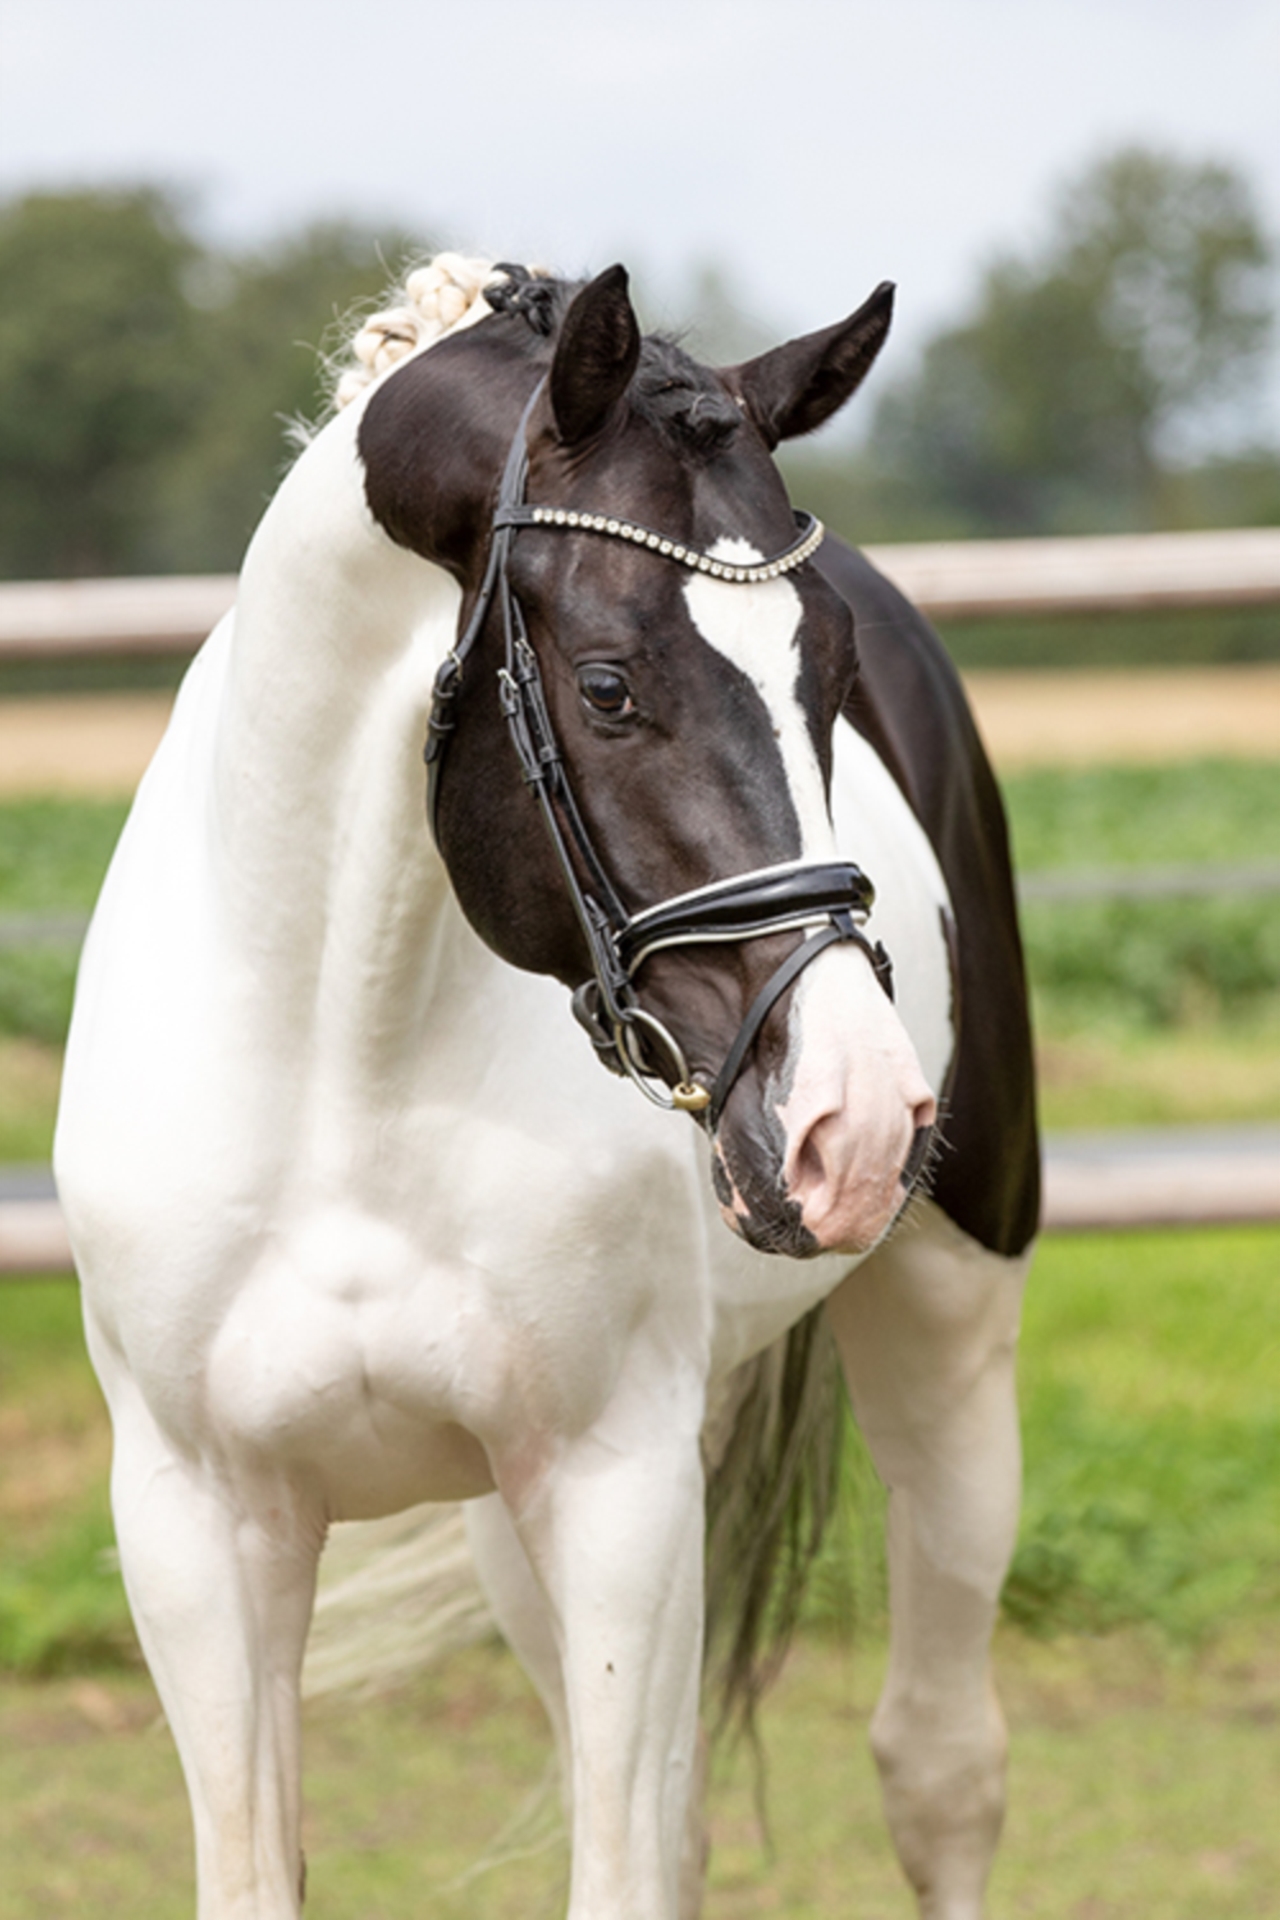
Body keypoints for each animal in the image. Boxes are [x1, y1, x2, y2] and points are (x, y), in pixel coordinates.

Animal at [54, 252, 1039, 1920]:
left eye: (832, 680)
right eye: (609, 683)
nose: (855, 1126)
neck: (342, 1062)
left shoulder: (612, 1492)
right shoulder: (203, 1521)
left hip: (949, 1334)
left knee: (944, 1772)